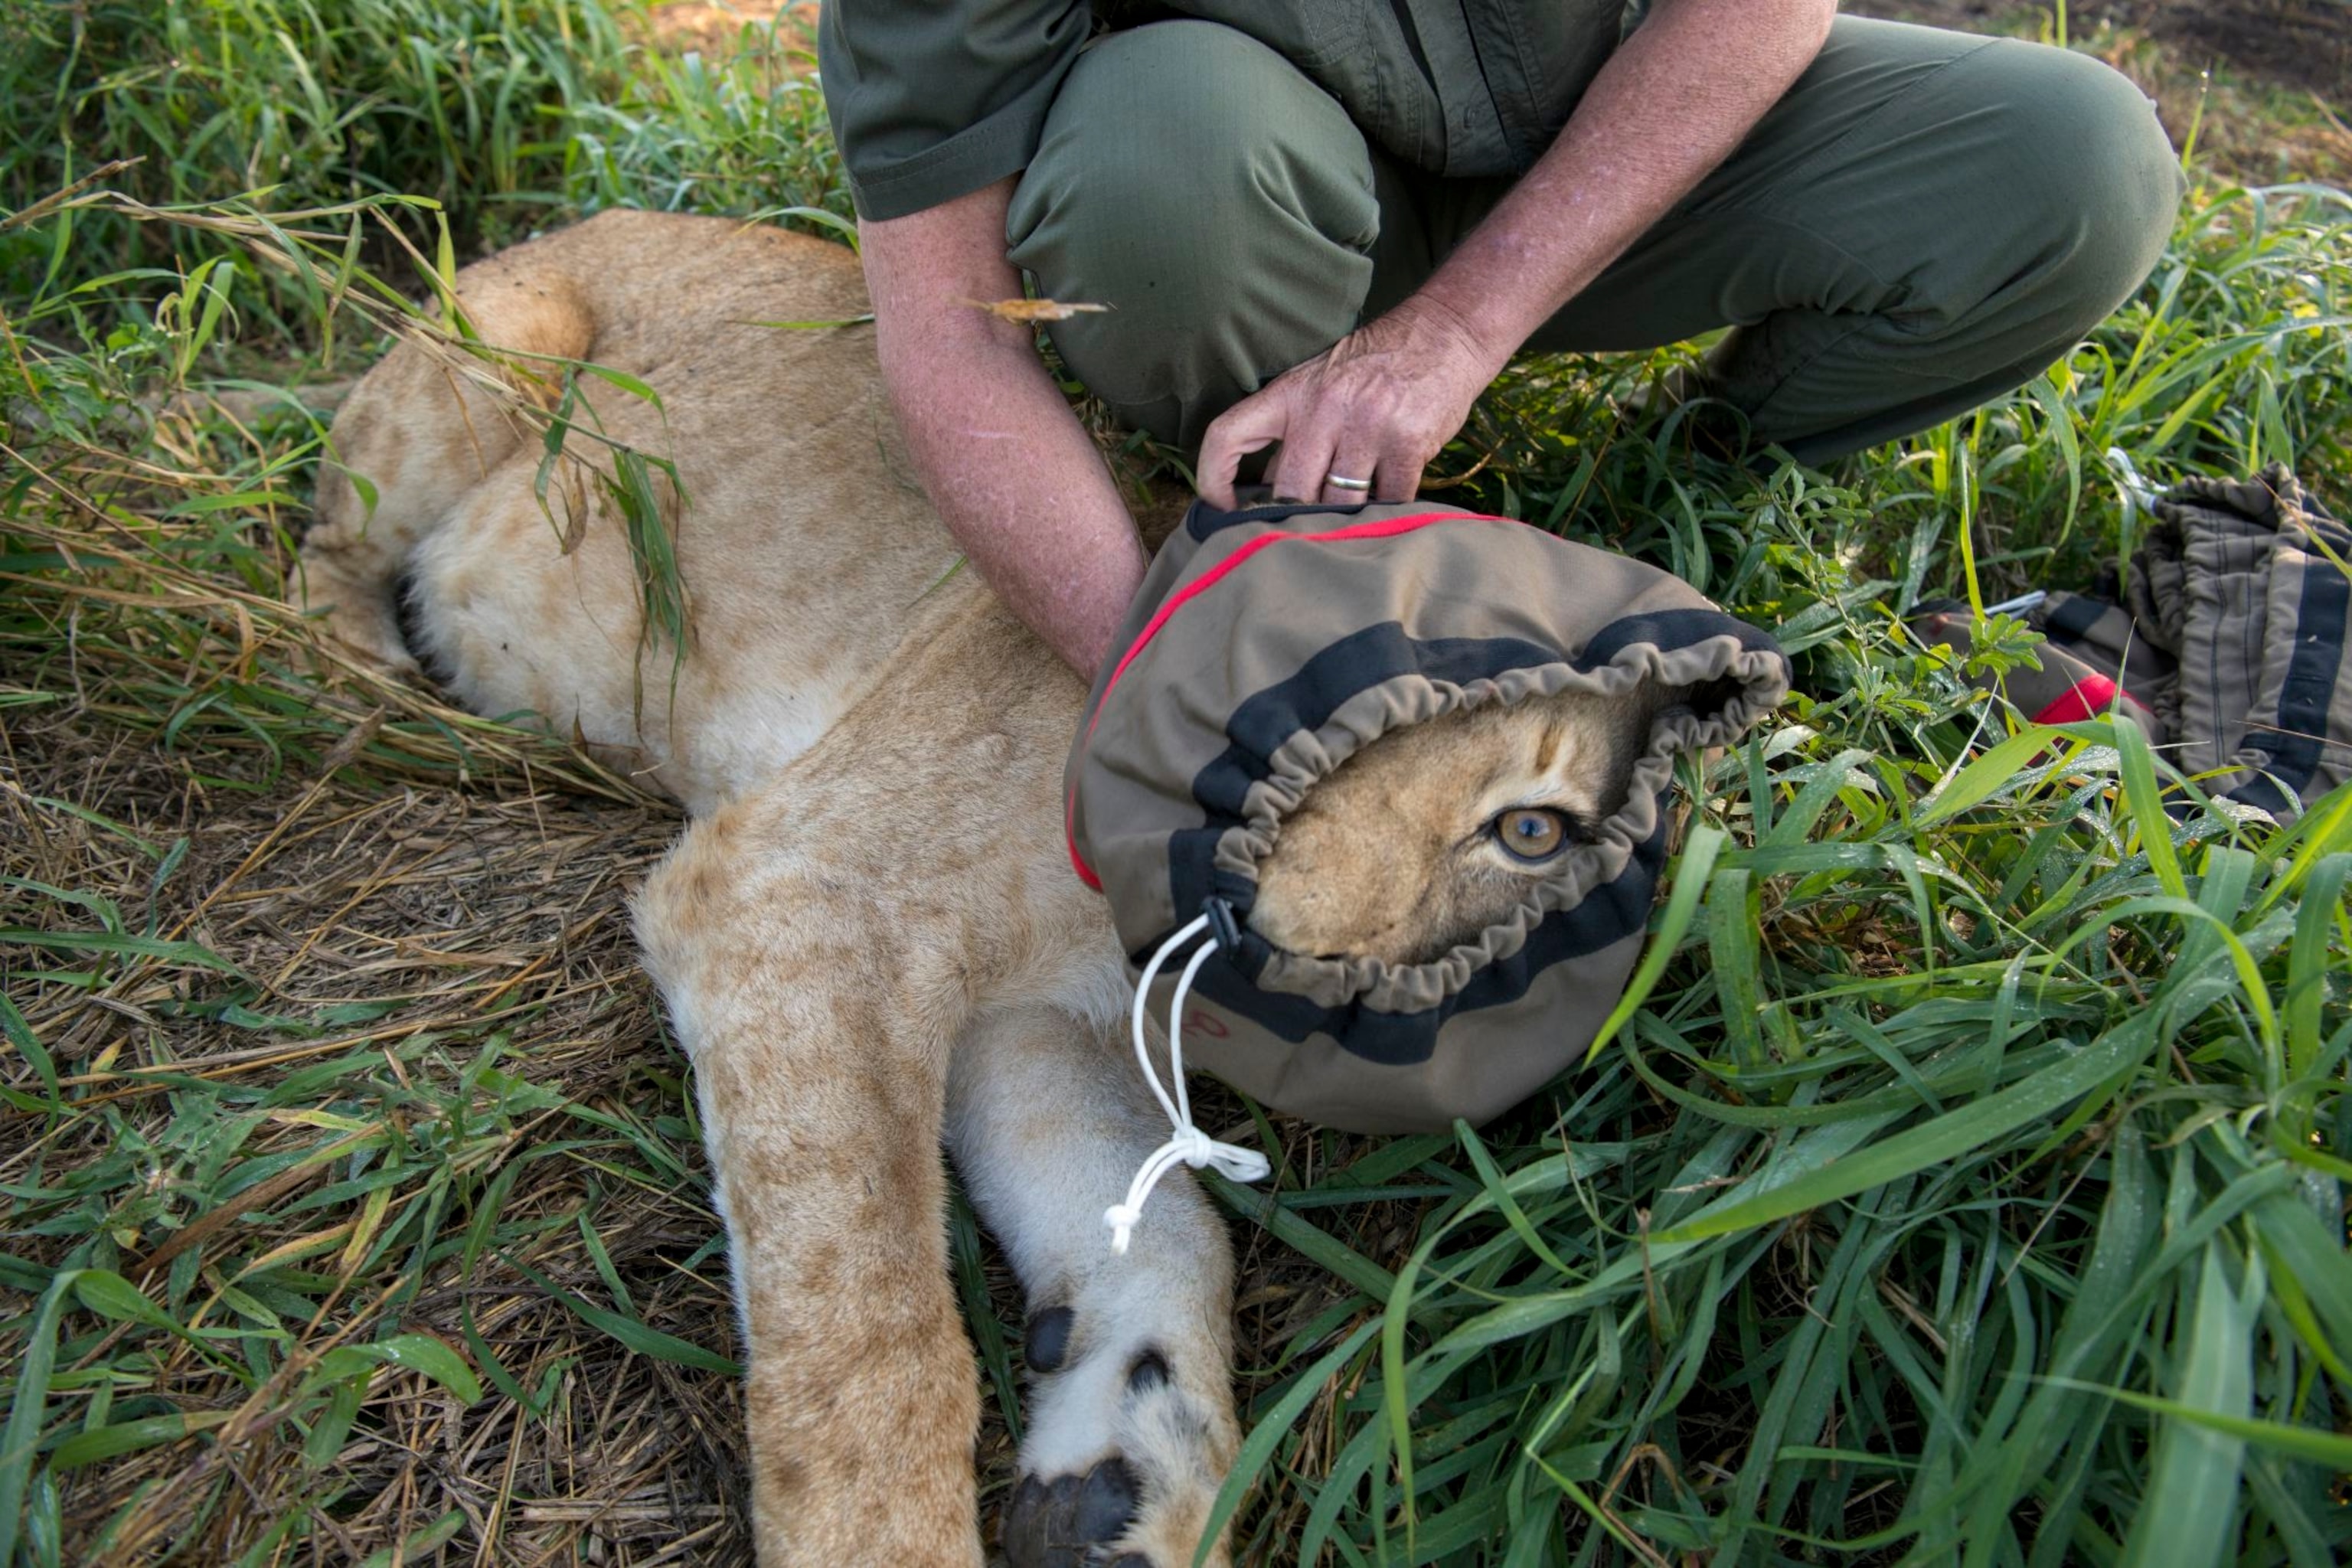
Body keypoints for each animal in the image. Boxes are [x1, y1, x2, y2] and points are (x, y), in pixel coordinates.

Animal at [299, 209, 1664, 1567]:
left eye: (1528, 833)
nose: (1309, 939)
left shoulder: (1029, 1024)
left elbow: (1171, 1223)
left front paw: (1129, 1487)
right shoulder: (794, 895)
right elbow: (877, 1328)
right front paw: (896, 1536)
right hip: (486, 363)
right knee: (328, 547)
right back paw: (384, 692)